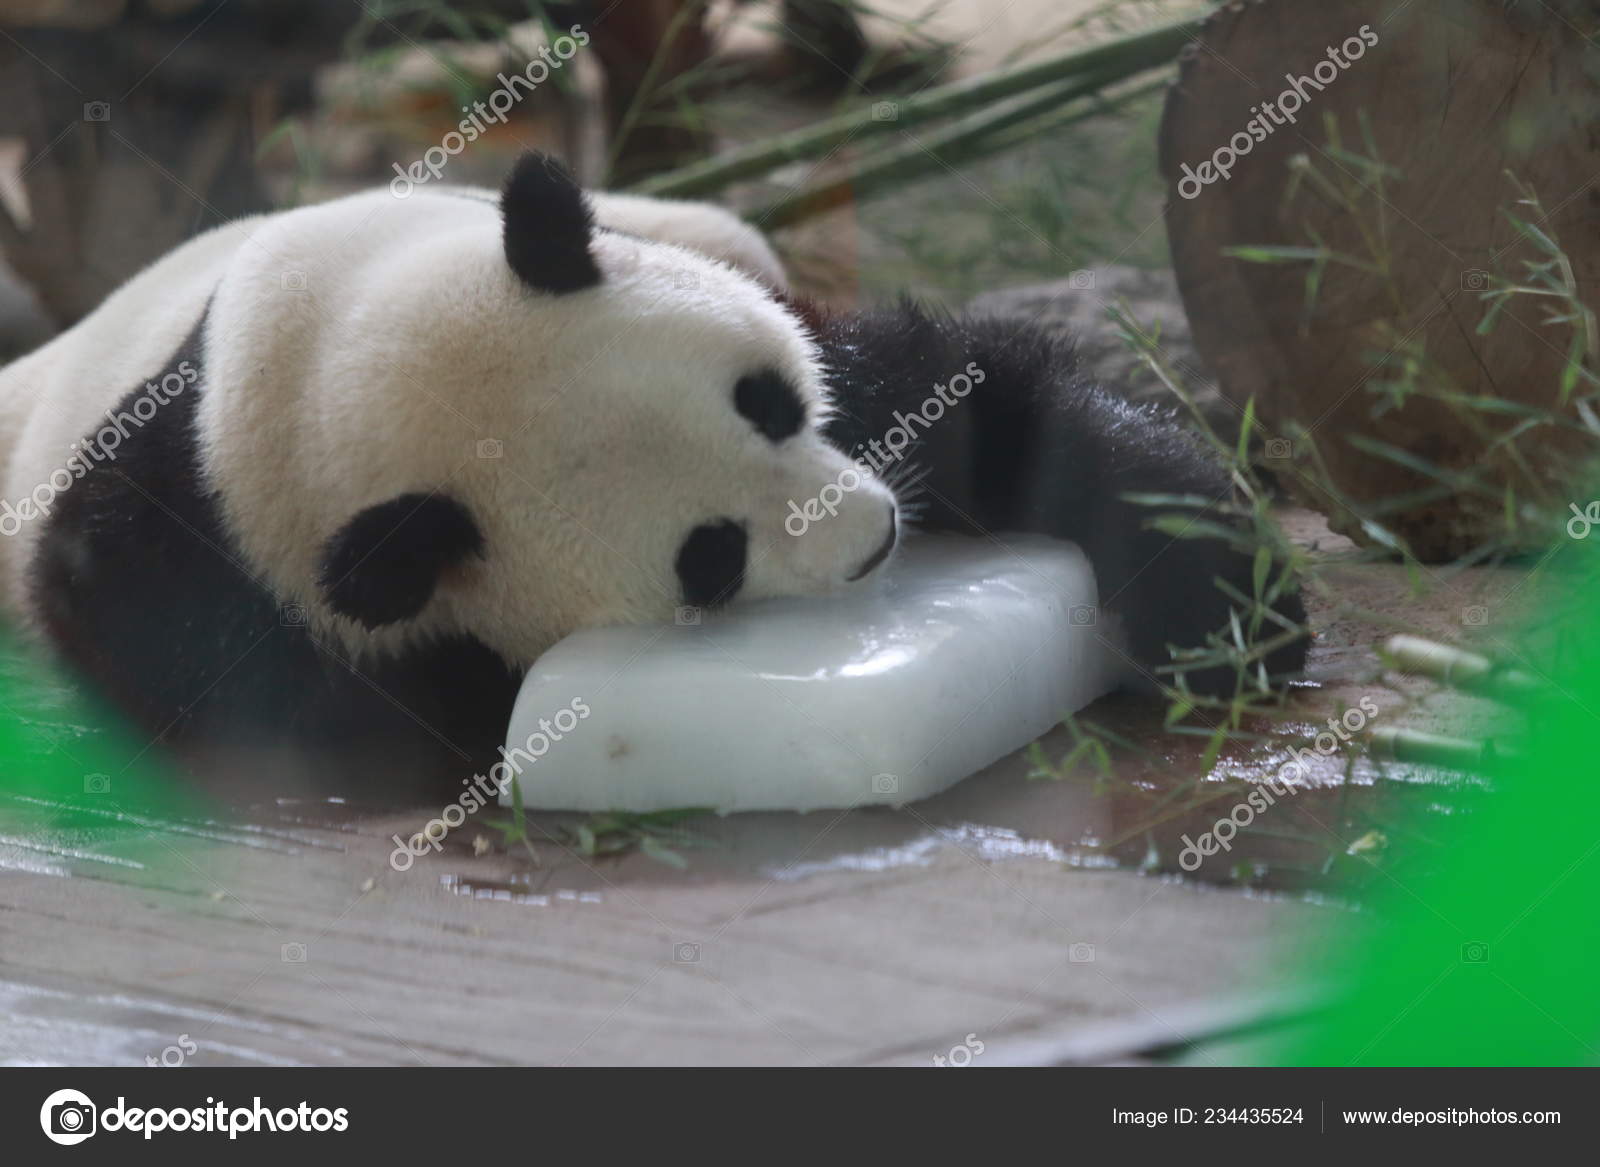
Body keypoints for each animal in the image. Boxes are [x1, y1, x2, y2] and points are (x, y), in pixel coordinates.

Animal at [0, 151, 1305, 798]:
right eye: (708, 557)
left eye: (767, 402)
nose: (877, 538)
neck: (312, 359)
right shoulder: (166, 554)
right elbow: (322, 717)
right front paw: (470, 697)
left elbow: (960, 395)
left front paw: (1217, 598)